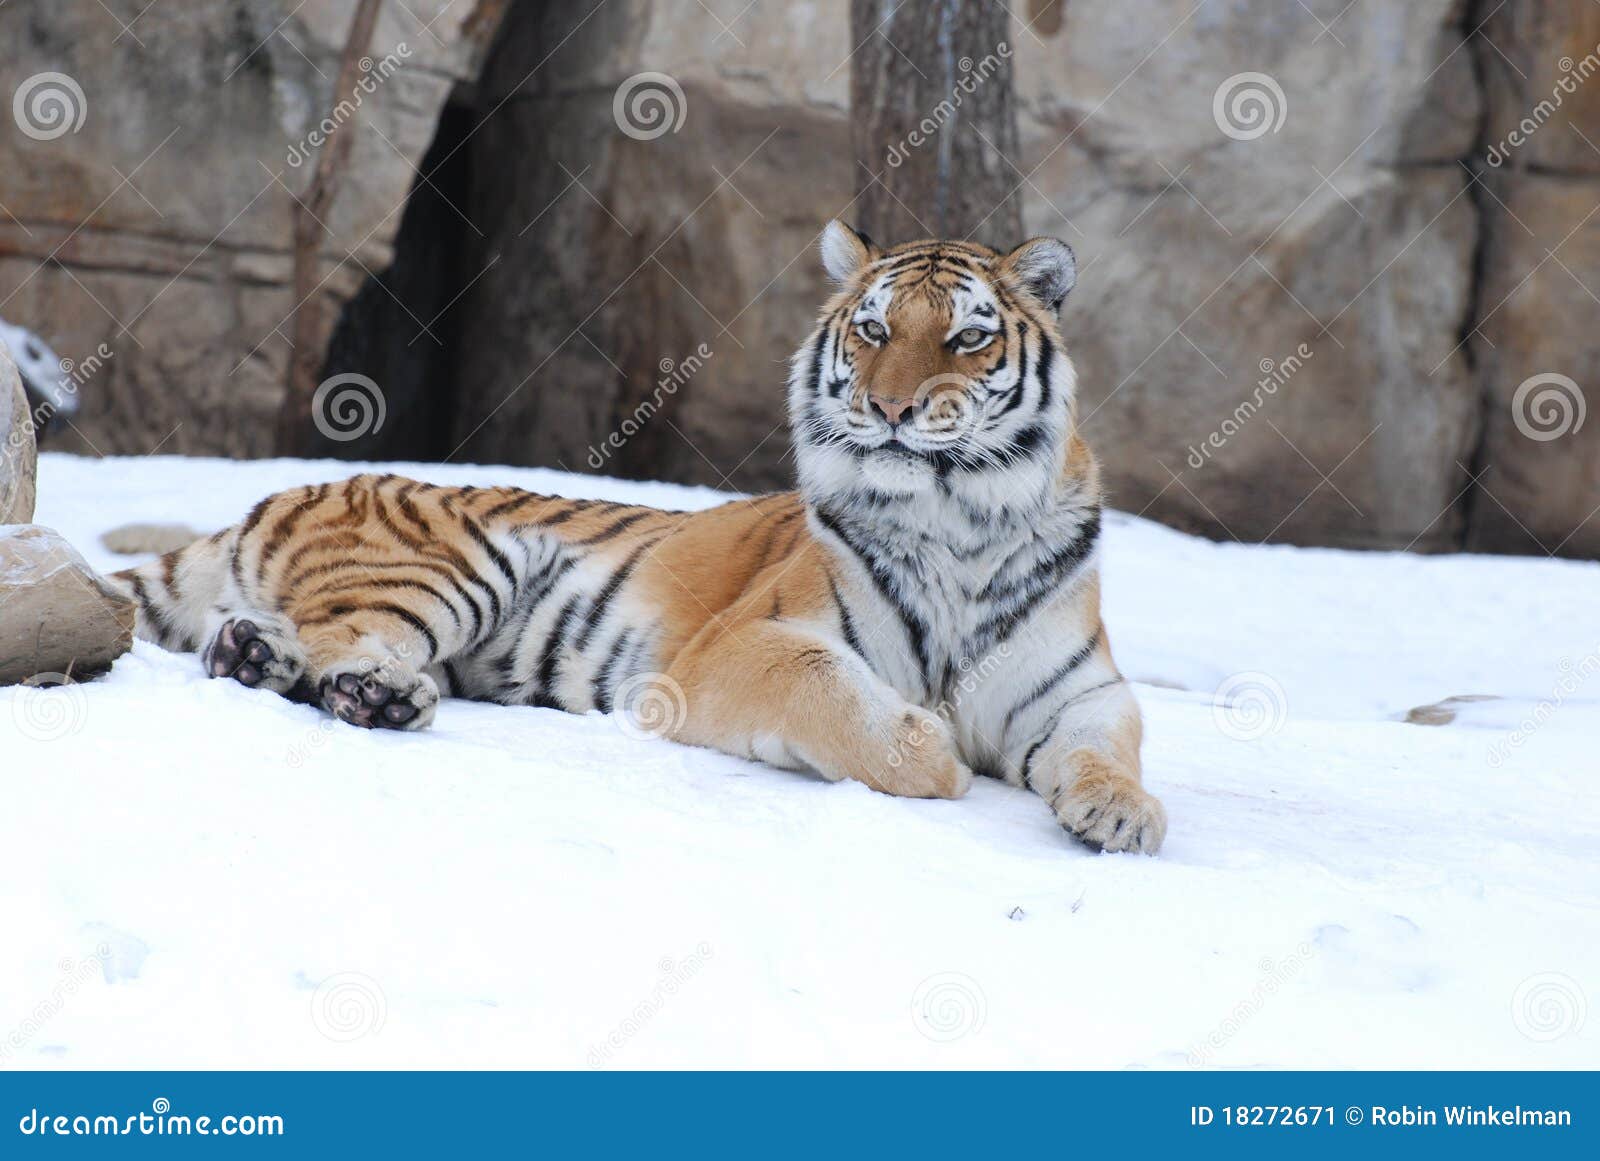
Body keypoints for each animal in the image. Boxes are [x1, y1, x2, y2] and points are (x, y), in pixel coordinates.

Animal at [107, 222, 1167, 854]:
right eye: (871, 330)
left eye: (967, 338)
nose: (892, 408)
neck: (960, 524)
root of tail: (296, 487)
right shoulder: (742, 648)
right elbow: (847, 701)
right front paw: (935, 744)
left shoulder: (1077, 689)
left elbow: (1108, 743)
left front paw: (1122, 811)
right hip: (452, 564)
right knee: (334, 633)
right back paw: (356, 685)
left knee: (289, 640)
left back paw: (294, 668)